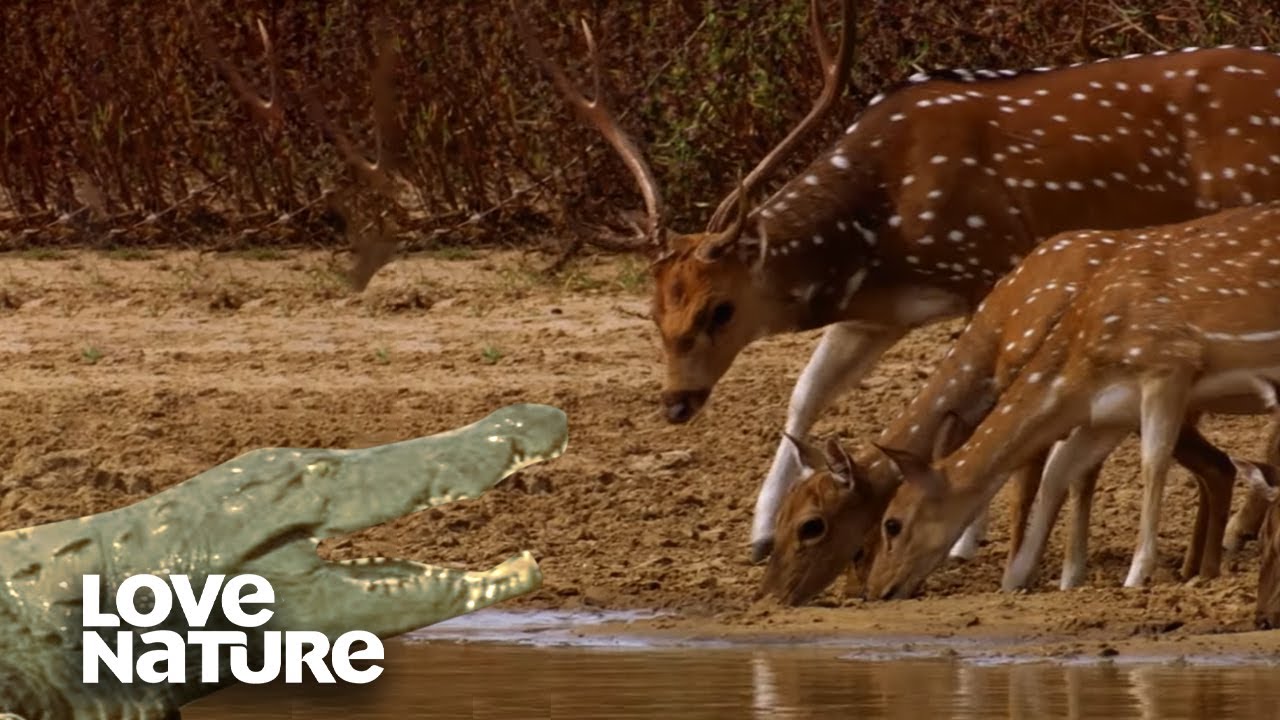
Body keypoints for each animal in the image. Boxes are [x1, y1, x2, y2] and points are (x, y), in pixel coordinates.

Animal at [759, 222, 1277, 605]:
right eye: (781, 516)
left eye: (812, 525)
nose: (776, 595)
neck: (1001, 329)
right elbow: (1066, 474)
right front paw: (1055, 574)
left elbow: (1034, 481)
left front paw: (1030, 573)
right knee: (1218, 466)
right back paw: (1202, 565)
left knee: (1220, 463)